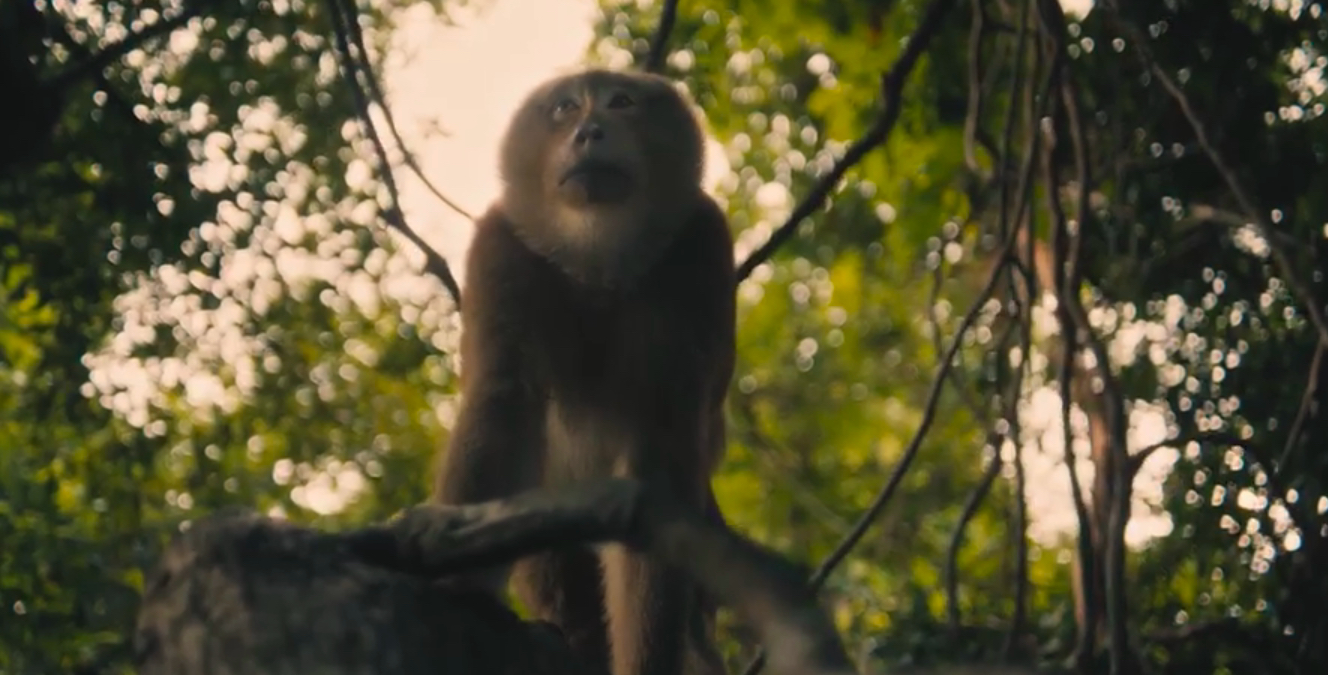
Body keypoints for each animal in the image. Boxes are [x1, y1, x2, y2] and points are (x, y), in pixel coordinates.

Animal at [433, 68, 736, 675]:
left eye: (621, 102)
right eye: (565, 109)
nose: (589, 131)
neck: (596, 261)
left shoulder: (701, 250)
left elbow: (659, 449)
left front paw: (647, 661)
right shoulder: (503, 244)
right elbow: (504, 400)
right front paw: (455, 588)